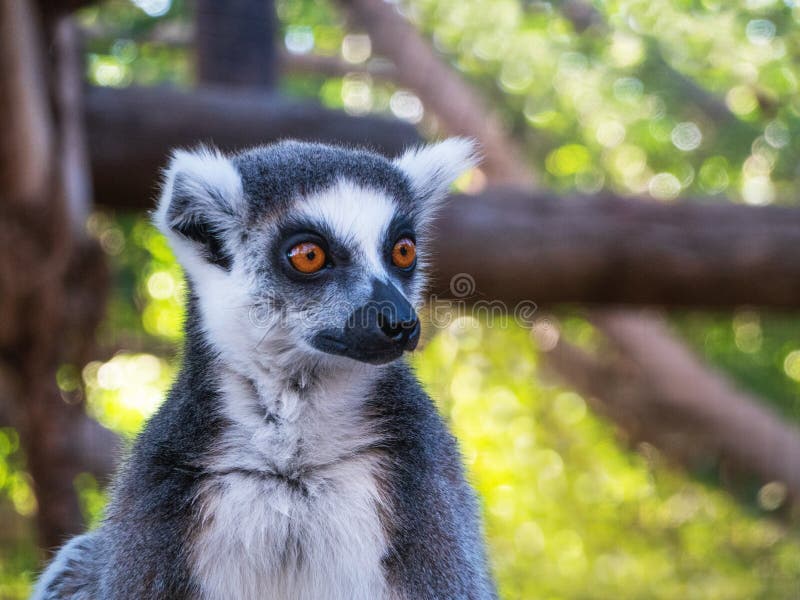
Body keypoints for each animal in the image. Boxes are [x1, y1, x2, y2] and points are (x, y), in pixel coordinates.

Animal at [34, 139, 496, 600]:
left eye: (403, 250)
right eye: (309, 255)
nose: (399, 321)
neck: (290, 458)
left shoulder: (423, 486)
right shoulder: (160, 494)